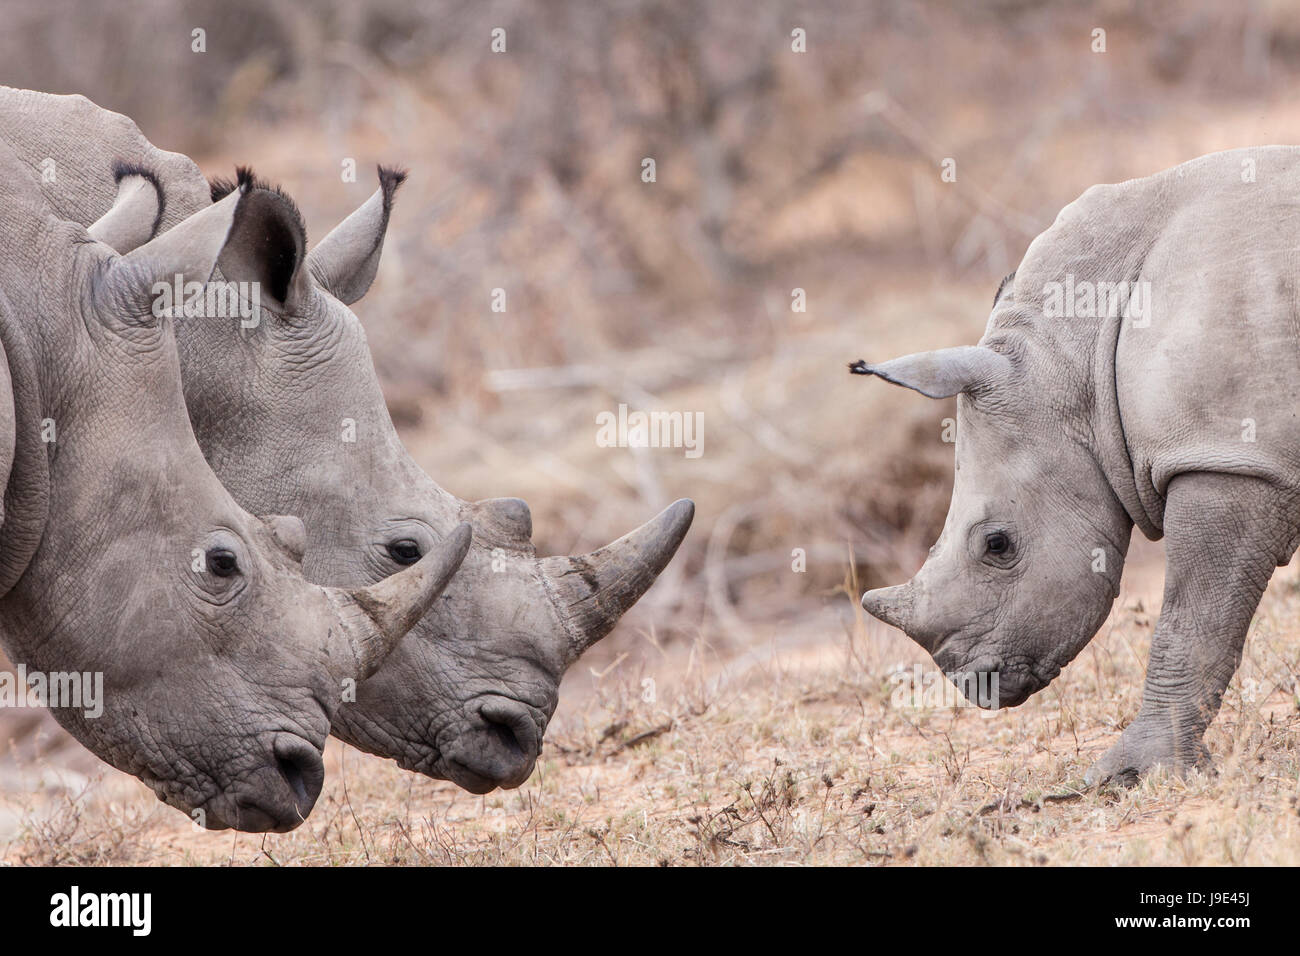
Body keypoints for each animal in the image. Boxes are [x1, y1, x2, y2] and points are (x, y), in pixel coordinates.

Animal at [854, 146, 1300, 784]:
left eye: (997, 545)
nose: (971, 682)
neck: (1076, 352)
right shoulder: (1241, 452)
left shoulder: (1228, 459)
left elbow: (1193, 619)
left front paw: (1129, 776)